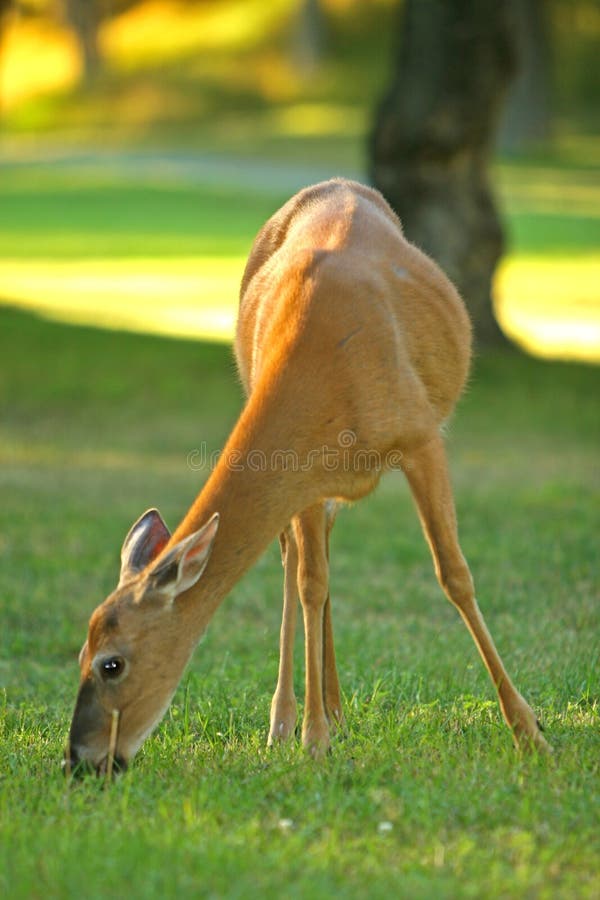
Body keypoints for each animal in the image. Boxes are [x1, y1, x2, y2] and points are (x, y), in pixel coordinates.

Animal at [64, 178, 551, 776]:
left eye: (111, 663)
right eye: (79, 655)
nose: (79, 760)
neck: (327, 371)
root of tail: (340, 183)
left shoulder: (420, 436)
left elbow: (454, 575)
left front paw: (529, 732)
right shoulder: (303, 475)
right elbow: (309, 584)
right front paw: (311, 738)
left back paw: (334, 712)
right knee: (299, 570)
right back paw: (295, 720)